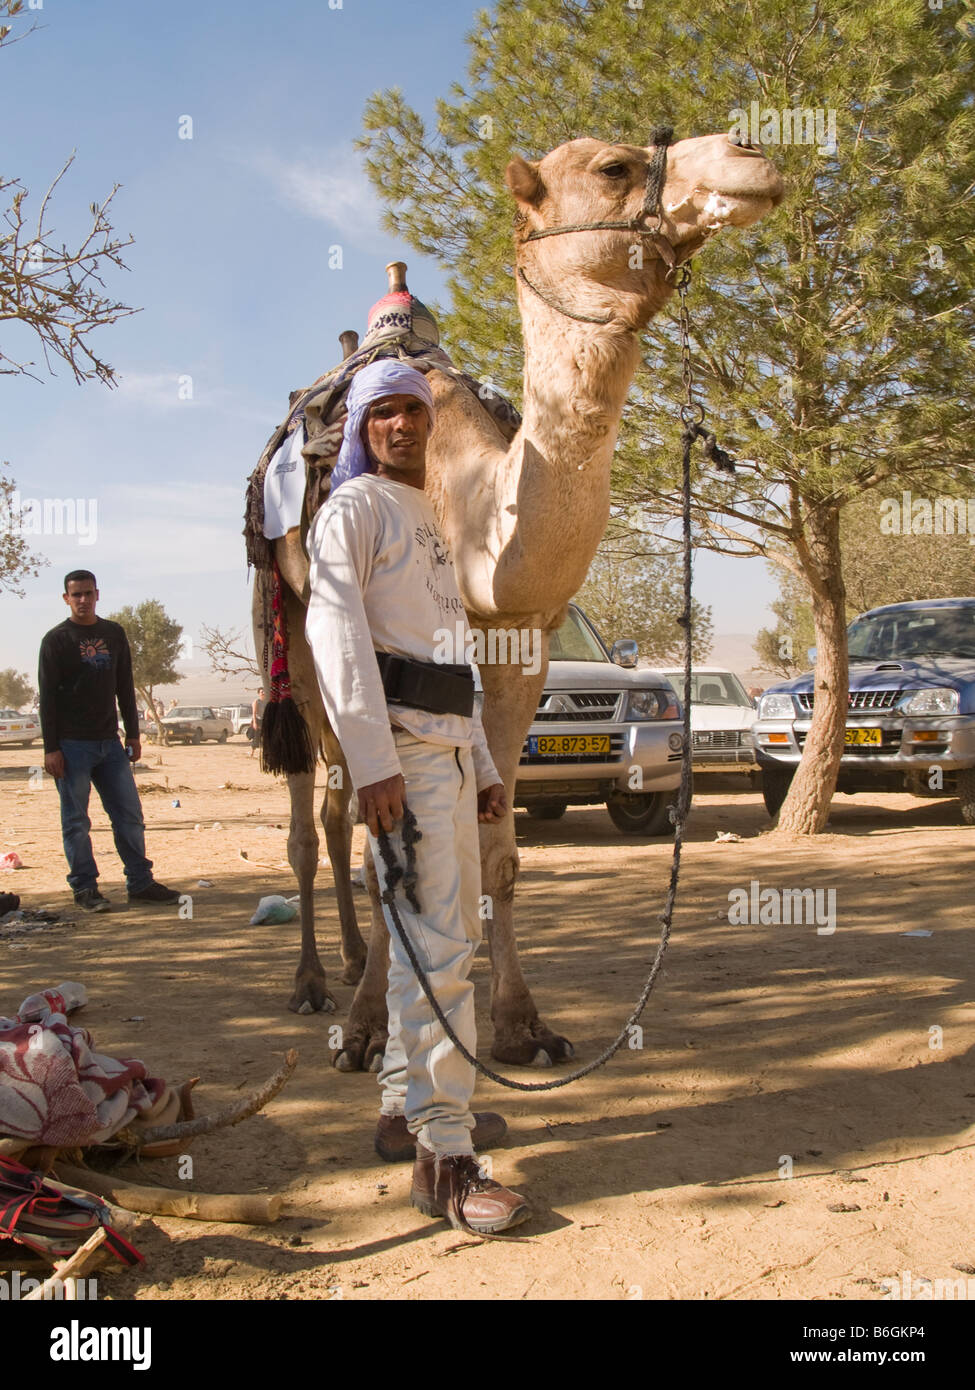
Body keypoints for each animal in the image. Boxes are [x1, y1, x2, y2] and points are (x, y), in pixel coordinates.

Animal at [252, 131, 784, 1068]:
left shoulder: (518, 646)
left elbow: (496, 850)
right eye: (612, 168)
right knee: (311, 826)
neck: (464, 502)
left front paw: (521, 1025)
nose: (749, 151)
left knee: (335, 812)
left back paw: (352, 961)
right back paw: (316, 984)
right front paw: (369, 1029)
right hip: (290, 635)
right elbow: (384, 842)